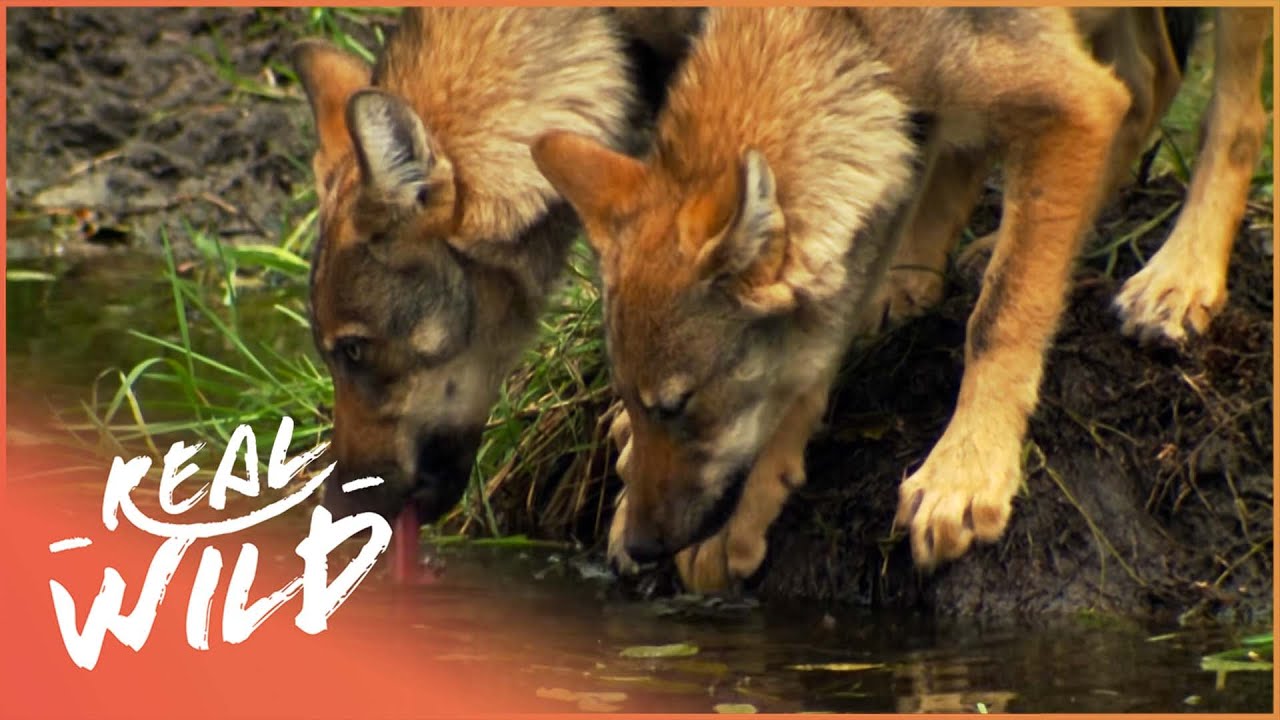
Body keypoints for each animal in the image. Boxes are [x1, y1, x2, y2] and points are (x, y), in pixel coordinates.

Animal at [531, 7, 1271, 592]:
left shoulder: (1071, 103)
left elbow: (1000, 314)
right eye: (635, 401)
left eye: (678, 406)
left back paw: (1178, 279)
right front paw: (740, 519)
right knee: (1152, 80)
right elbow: (813, 361)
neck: (852, 24)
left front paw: (965, 473)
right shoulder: (909, 130)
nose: (643, 545)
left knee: (1236, 115)